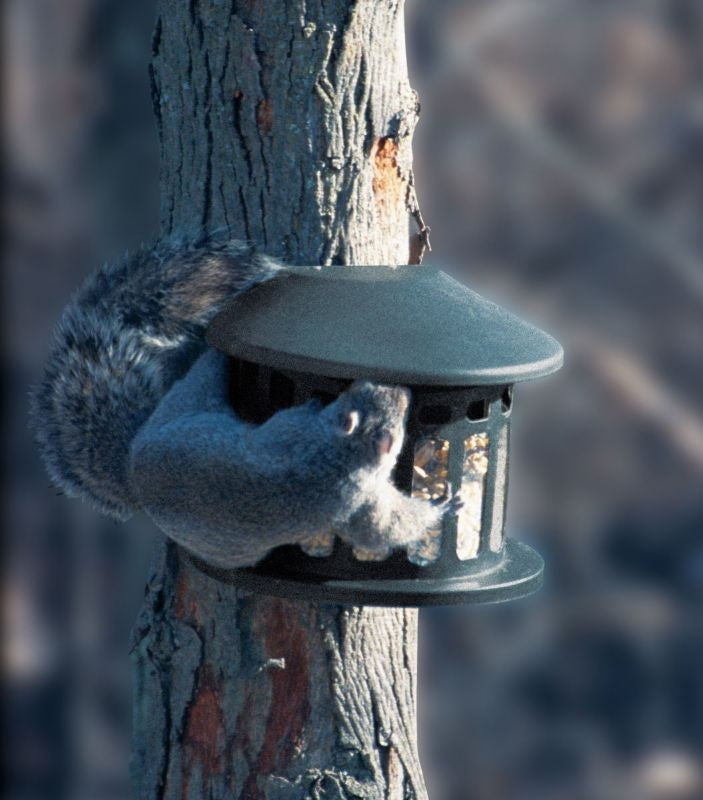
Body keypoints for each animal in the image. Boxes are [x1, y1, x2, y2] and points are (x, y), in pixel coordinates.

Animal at [31, 232, 454, 568]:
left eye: (360, 395)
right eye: (395, 420)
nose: (400, 391)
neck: (336, 455)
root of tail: (132, 470)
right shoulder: (357, 500)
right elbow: (381, 529)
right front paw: (442, 507)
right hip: (191, 405)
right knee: (203, 375)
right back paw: (209, 350)